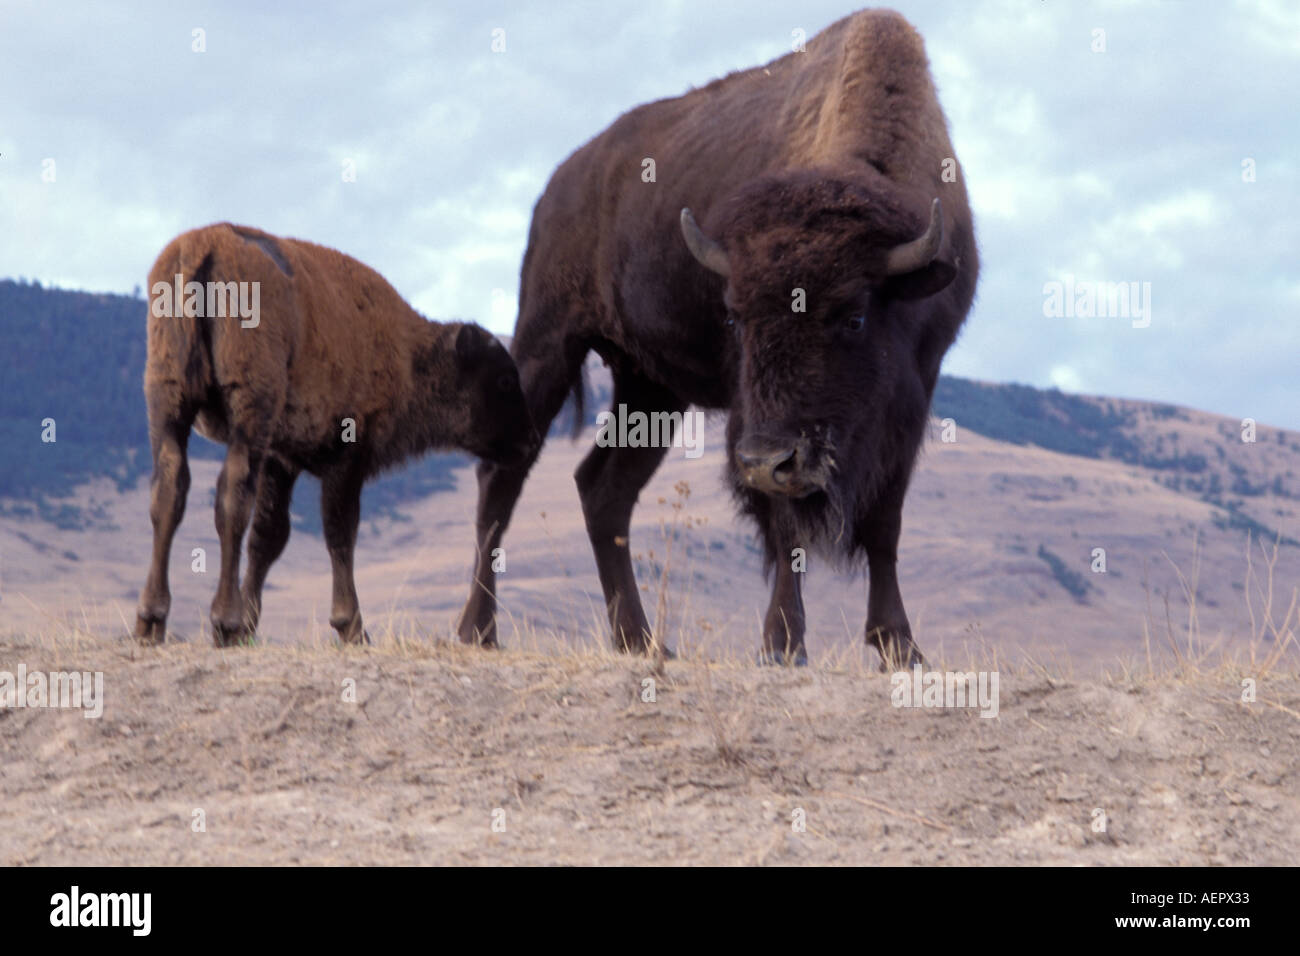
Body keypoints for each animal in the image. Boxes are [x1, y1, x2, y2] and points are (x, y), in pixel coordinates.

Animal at [135, 223, 537, 647]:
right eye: (505, 380)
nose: (530, 439)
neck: (409, 354)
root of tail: (207, 245)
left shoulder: (282, 459)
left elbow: (269, 537)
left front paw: (248, 626)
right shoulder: (346, 456)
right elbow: (340, 533)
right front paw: (351, 627)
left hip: (168, 399)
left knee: (169, 488)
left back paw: (152, 619)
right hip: (248, 408)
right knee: (232, 494)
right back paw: (222, 619)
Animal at [459, 8, 978, 667]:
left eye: (854, 317)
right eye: (734, 317)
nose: (766, 461)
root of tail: (558, 185)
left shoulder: (913, 397)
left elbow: (885, 523)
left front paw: (900, 648)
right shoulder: (755, 419)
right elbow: (785, 528)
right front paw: (783, 644)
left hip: (649, 389)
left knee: (603, 490)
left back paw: (640, 641)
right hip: (547, 345)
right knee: (502, 478)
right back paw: (478, 632)